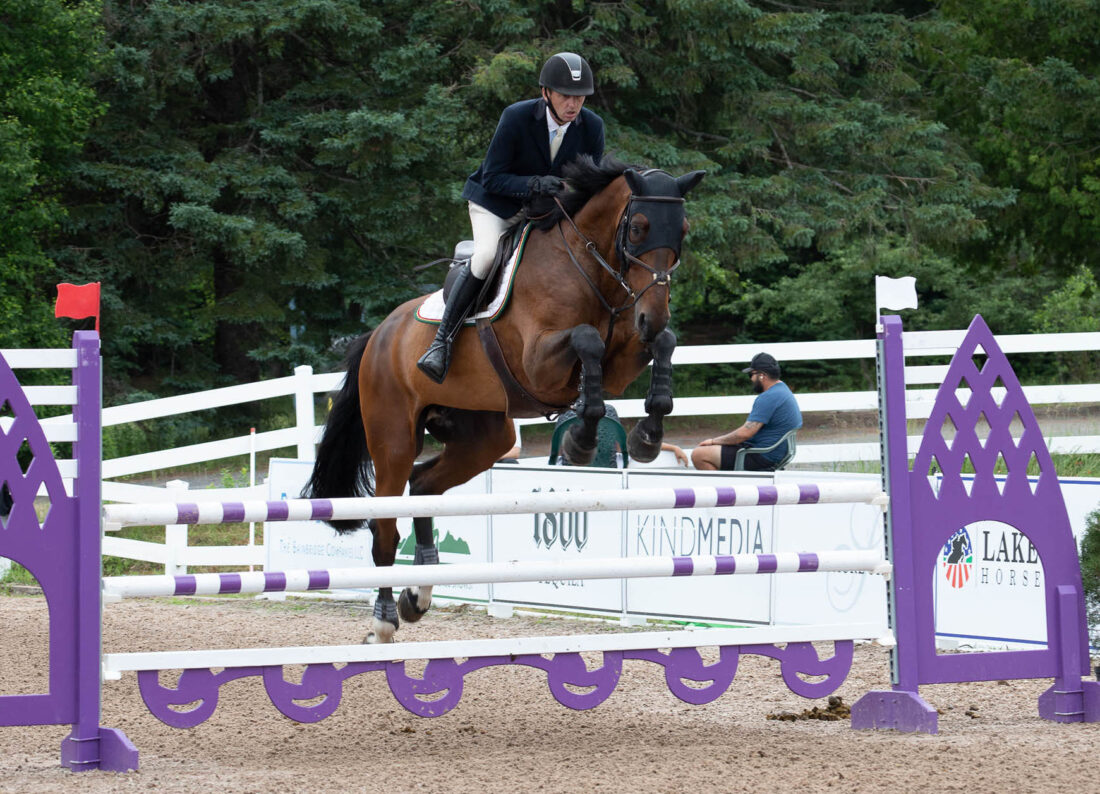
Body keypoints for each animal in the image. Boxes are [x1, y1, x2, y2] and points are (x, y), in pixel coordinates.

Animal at [303, 156, 705, 642]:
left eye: (682, 229)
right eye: (640, 227)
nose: (654, 313)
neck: (589, 269)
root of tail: (378, 334)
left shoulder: (622, 359)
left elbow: (662, 342)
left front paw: (647, 436)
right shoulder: (540, 363)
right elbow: (587, 341)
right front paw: (581, 443)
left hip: (483, 437)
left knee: (424, 486)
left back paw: (418, 594)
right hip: (393, 438)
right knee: (385, 524)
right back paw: (383, 621)